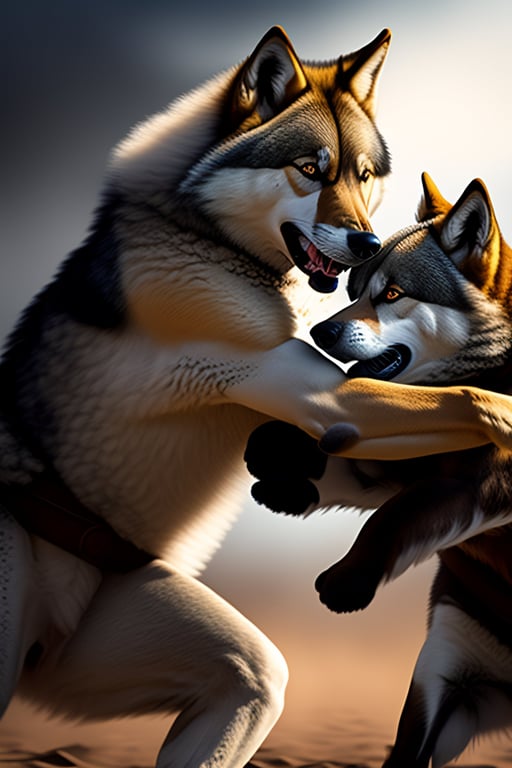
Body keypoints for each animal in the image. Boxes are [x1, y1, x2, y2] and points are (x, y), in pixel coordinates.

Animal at [0, 25, 396, 767]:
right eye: (311, 168)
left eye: (361, 175)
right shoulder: (298, 382)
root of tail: (50, 635)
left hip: (162, 656)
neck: (204, 238)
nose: (369, 243)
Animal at [245, 173, 512, 767]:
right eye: (354, 290)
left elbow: (391, 515)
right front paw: (280, 464)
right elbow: (359, 468)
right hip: (441, 675)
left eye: (392, 294)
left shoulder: (481, 482)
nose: (319, 333)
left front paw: (346, 580)